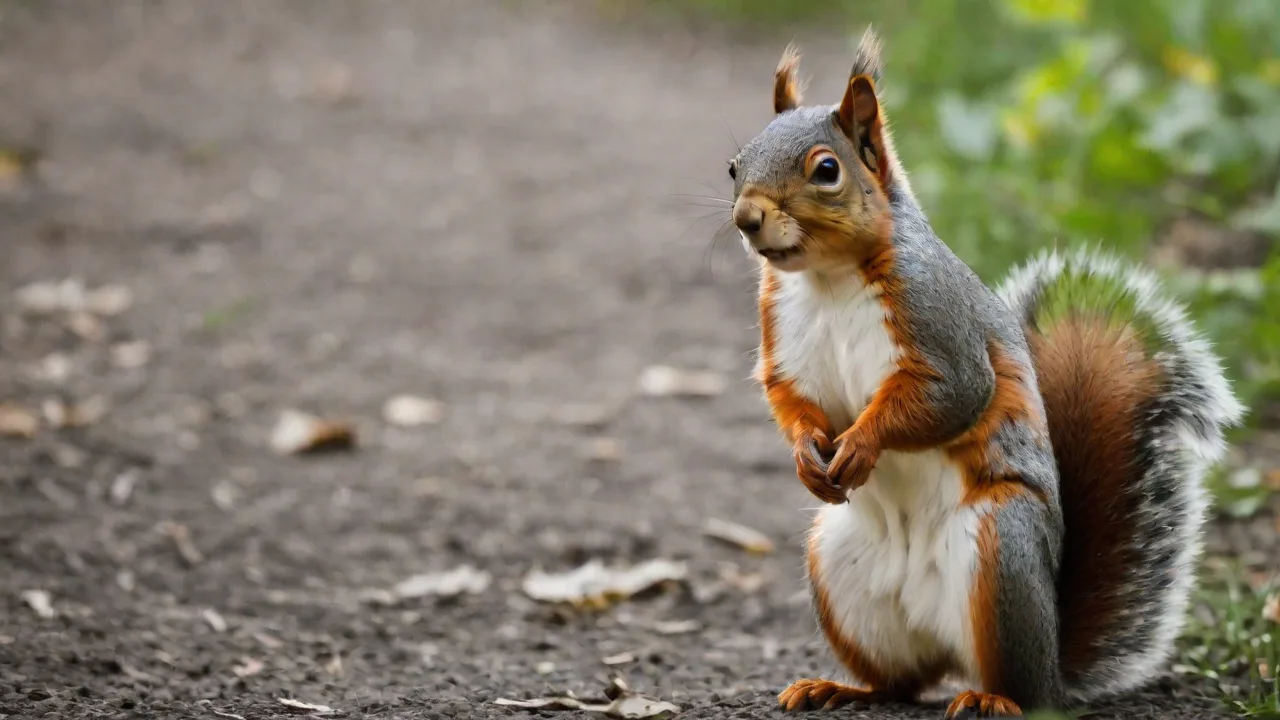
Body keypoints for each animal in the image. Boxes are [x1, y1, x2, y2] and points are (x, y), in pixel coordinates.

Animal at [728, 28, 1245, 719]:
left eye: (827, 170)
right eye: (735, 165)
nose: (746, 218)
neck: (829, 278)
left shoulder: (941, 324)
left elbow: (955, 394)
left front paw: (861, 443)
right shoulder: (784, 337)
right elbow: (791, 398)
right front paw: (806, 455)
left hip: (1003, 551)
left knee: (1022, 688)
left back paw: (992, 699)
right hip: (840, 568)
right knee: (900, 682)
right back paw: (836, 687)